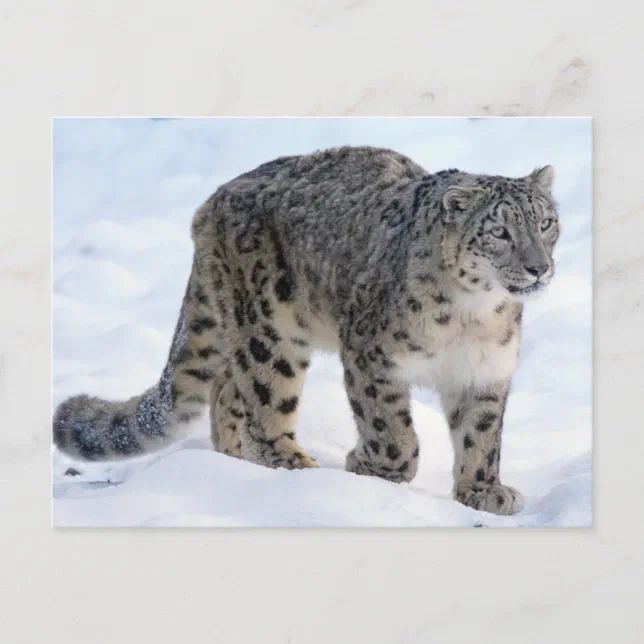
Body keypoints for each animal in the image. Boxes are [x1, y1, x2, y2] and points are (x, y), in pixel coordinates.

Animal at [52, 146, 560, 516]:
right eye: (499, 232)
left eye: (546, 222)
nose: (539, 267)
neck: (473, 314)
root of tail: (211, 203)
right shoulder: (371, 356)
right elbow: (392, 430)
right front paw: (369, 465)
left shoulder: (485, 371)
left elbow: (481, 436)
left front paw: (483, 491)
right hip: (270, 331)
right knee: (262, 403)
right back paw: (294, 467)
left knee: (226, 391)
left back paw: (233, 461)